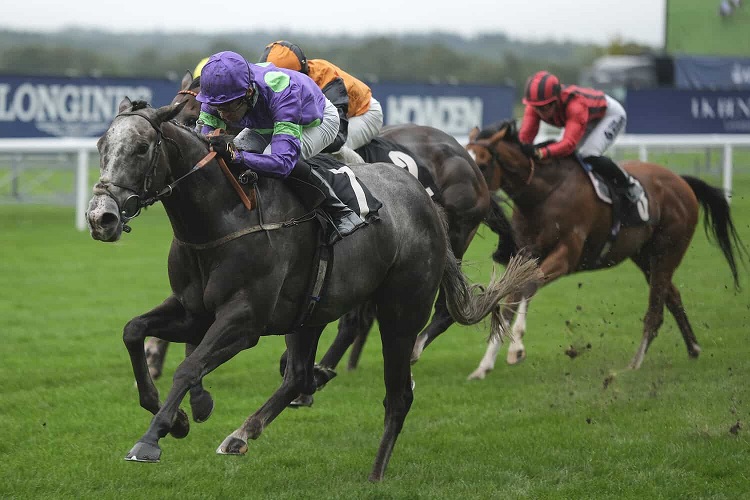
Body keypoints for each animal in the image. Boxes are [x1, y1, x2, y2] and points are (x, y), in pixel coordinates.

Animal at [462, 120, 747, 379]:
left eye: (484, 164)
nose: (470, 197)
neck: (543, 194)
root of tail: (681, 181)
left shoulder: (567, 254)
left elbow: (529, 285)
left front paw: (517, 348)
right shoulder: (526, 253)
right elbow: (511, 296)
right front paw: (484, 365)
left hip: (668, 251)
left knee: (655, 310)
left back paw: (635, 364)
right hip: (645, 256)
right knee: (673, 296)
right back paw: (693, 348)